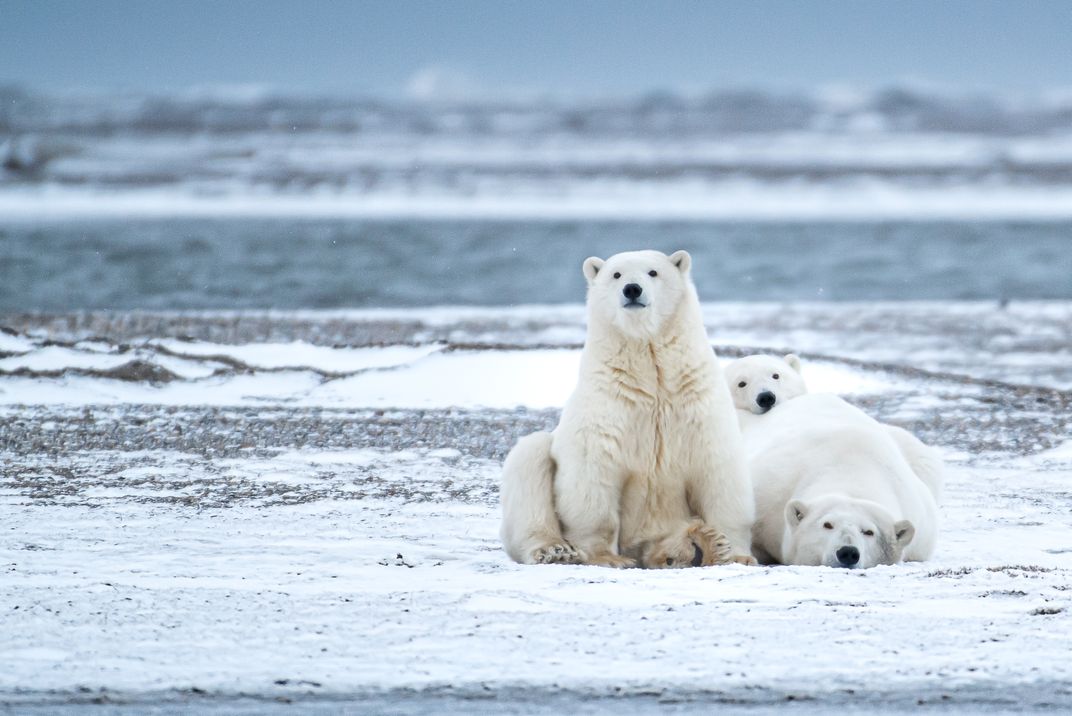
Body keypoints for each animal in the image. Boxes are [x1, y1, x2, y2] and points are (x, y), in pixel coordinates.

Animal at [499, 250, 754, 568]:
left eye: (653, 272)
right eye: (616, 274)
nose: (632, 289)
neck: (652, 380)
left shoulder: (696, 405)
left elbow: (719, 476)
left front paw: (738, 554)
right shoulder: (608, 409)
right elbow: (594, 478)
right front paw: (607, 557)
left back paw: (696, 546)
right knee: (530, 457)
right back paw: (554, 549)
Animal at [743, 392, 941, 568]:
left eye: (869, 532)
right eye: (827, 524)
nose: (848, 552)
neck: (851, 471)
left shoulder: (921, 534)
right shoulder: (771, 489)